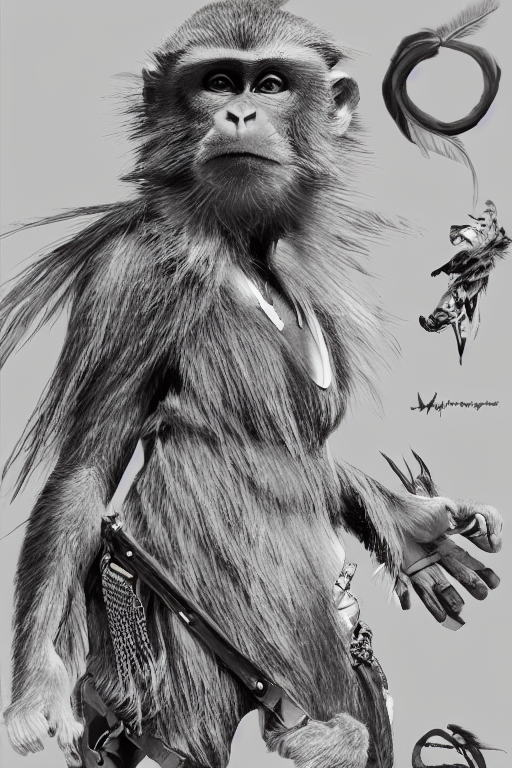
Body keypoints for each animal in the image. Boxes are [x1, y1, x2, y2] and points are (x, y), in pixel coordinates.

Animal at [1, 1, 503, 768]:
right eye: (216, 82)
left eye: (270, 84)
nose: (239, 113)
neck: (239, 247)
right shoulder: (129, 276)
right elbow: (85, 469)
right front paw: (36, 690)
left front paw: (421, 527)